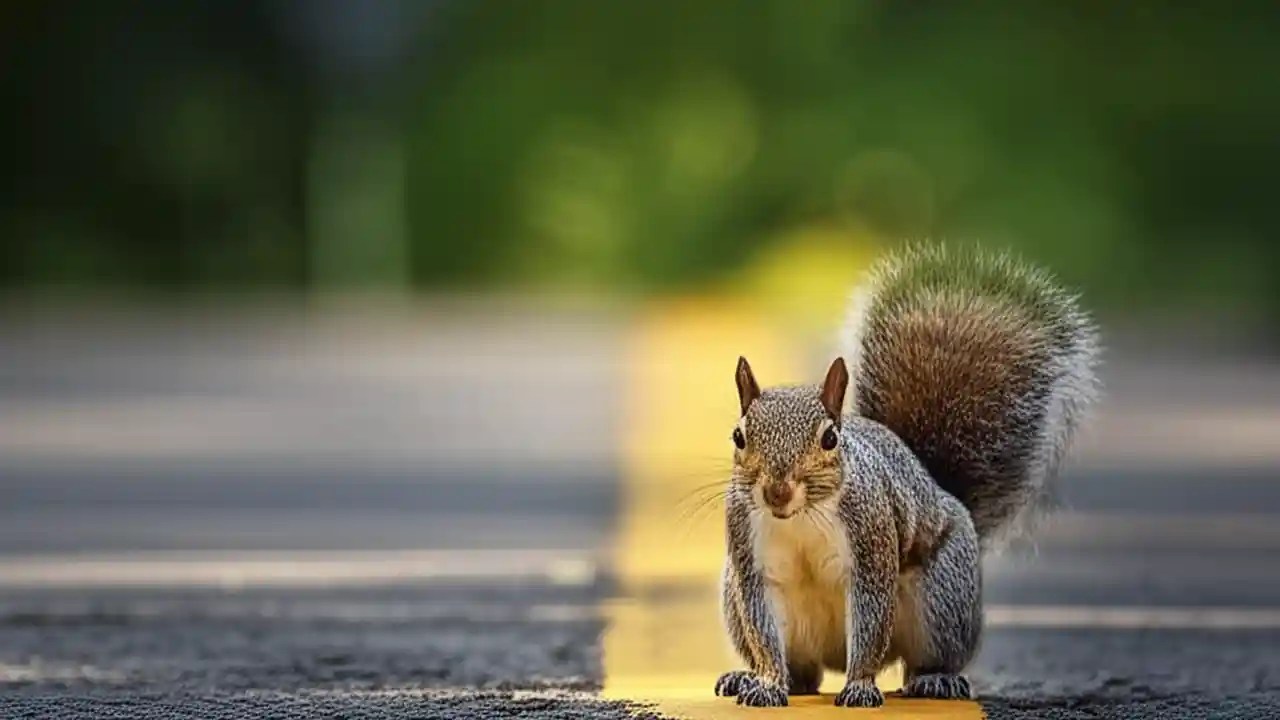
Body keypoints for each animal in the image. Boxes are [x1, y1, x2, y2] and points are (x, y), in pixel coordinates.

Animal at [713, 244, 1099, 708]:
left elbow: (870, 619)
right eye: (738, 436)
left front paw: (860, 686)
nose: (777, 492)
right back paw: (750, 677)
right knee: (801, 673)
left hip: (943, 597)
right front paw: (769, 684)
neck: (804, 516)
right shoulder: (749, 557)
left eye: (830, 438)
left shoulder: (872, 540)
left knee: (925, 656)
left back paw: (935, 680)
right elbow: (762, 626)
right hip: (735, 601)